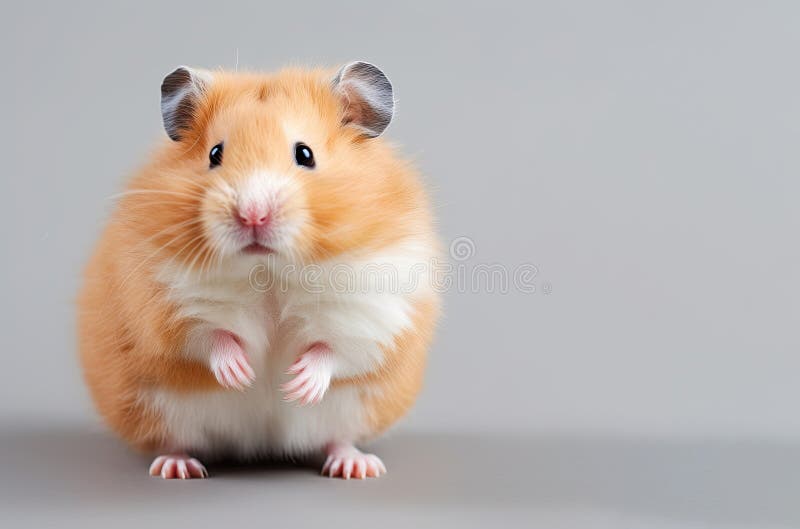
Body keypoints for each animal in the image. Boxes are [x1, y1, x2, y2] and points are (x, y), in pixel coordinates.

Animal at [77, 62, 441, 479]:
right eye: (215, 153)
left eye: (305, 154)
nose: (252, 215)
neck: (268, 272)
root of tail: (257, 447)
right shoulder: (163, 304)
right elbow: (209, 336)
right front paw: (242, 374)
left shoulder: (374, 310)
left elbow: (334, 348)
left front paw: (297, 384)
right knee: (175, 441)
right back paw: (177, 468)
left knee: (338, 438)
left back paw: (356, 466)